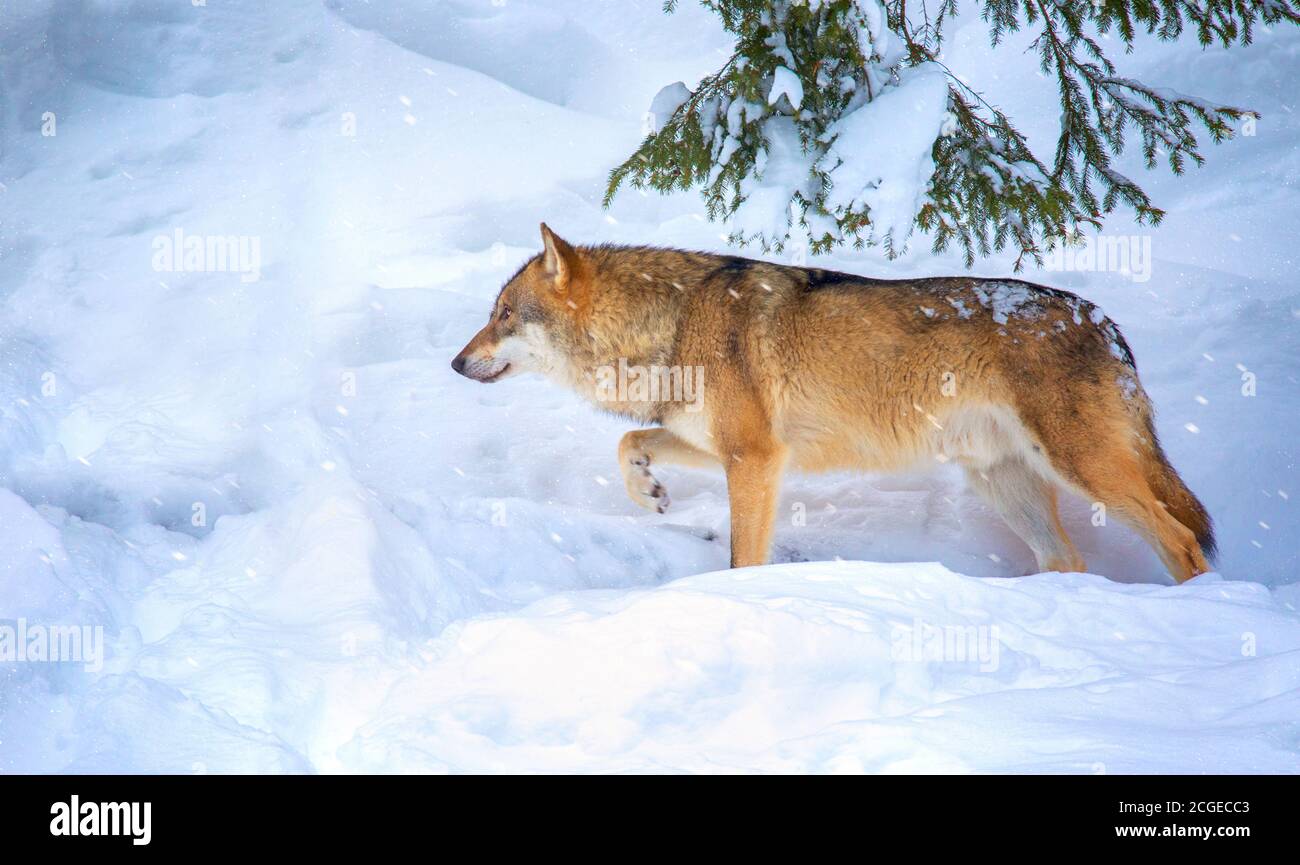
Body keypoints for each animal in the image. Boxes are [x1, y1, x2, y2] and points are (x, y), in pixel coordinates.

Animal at [452, 224, 1215, 582]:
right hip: (1005, 482)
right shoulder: (724, 445)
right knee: (1070, 560)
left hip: (1082, 467)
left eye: (503, 315)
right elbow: (626, 443)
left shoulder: (755, 457)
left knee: (1181, 540)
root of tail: (1109, 325)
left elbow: (743, 557)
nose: (456, 363)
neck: (669, 325)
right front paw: (649, 492)